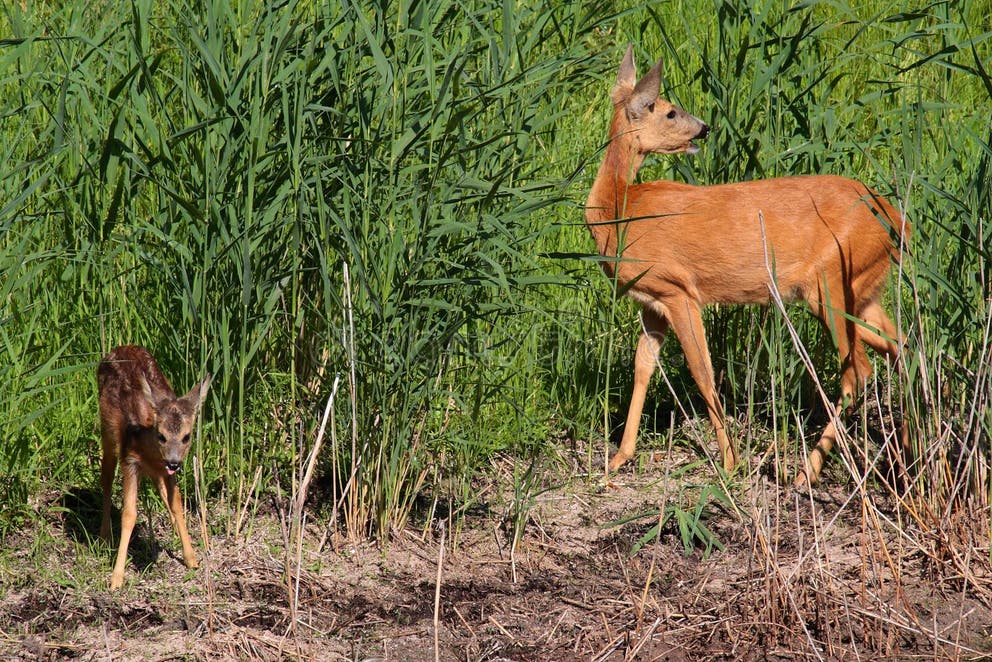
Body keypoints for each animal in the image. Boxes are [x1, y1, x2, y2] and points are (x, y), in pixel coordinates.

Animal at [97, 345, 210, 590]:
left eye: (187, 437)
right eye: (162, 436)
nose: (175, 462)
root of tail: (121, 346)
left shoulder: (166, 471)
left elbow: (177, 503)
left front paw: (191, 558)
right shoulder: (130, 461)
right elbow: (129, 514)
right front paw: (116, 578)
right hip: (107, 434)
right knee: (106, 477)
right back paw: (104, 537)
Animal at [585, 46, 909, 487]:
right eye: (669, 111)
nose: (704, 128)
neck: (621, 209)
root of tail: (894, 218)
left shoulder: (679, 289)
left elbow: (702, 371)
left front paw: (729, 462)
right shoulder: (651, 301)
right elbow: (643, 367)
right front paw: (619, 457)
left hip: (830, 284)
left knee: (857, 372)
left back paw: (806, 471)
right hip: (863, 289)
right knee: (903, 348)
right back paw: (914, 451)